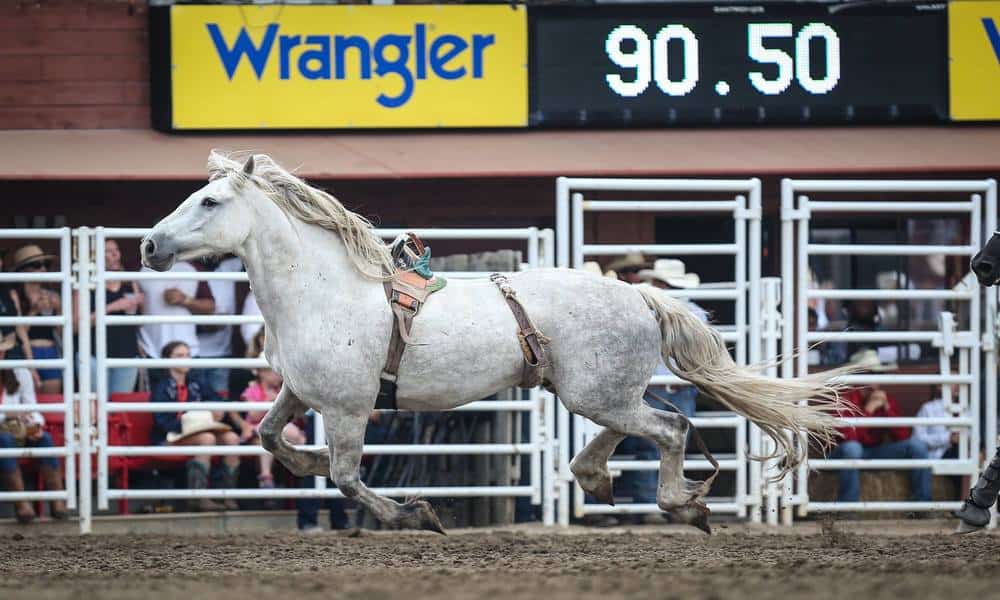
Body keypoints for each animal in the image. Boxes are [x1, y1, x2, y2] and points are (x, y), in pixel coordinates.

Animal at [141, 151, 848, 533]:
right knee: (641, 427)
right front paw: (307, 462)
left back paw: (681, 504)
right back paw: (597, 476)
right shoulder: (300, 391)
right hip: (594, 391)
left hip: (598, 392)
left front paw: (414, 515)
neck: (324, 291)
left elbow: (346, 479)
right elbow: (270, 438)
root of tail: (639, 295)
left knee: (669, 429)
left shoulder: (346, 408)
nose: (148, 244)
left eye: (208, 202)